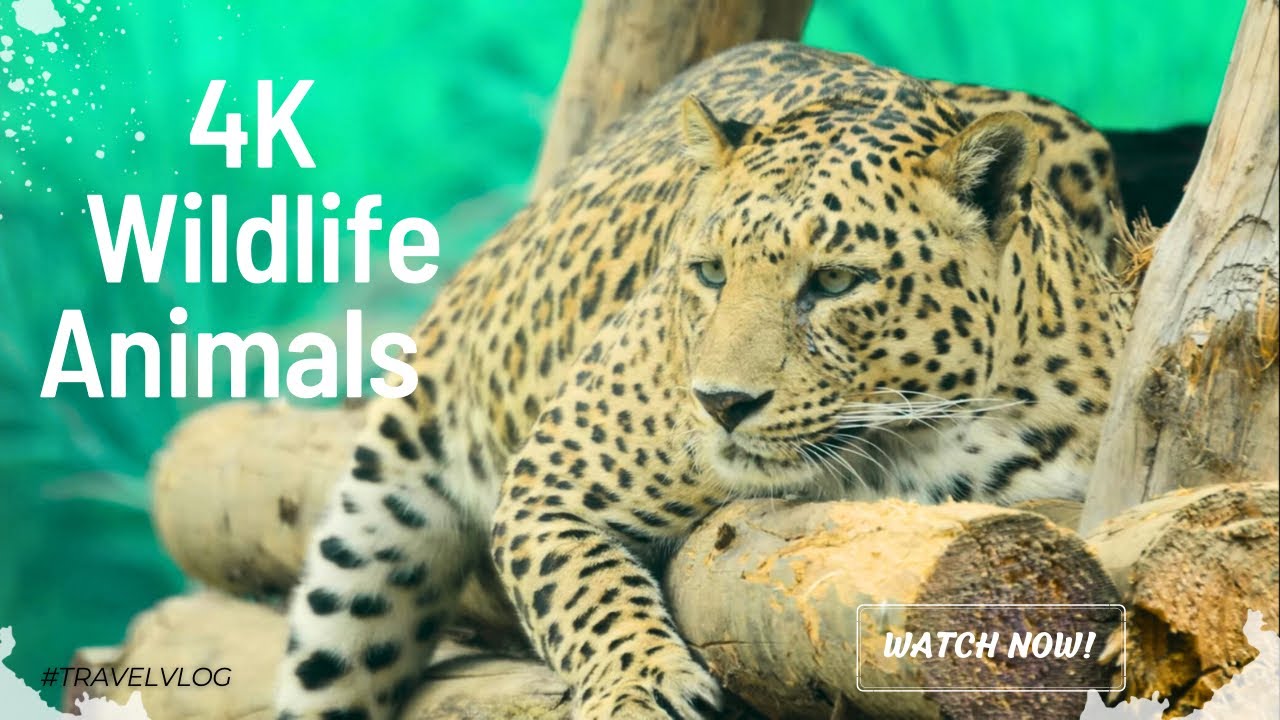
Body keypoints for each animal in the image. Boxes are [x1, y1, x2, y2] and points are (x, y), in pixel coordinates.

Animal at [275, 41, 1132, 720]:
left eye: (835, 280)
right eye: (710, 272)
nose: (720, 402)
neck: (917, 445)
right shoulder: (550, 482)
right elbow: (583, 588)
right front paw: (637, 689)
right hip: (372, 549)